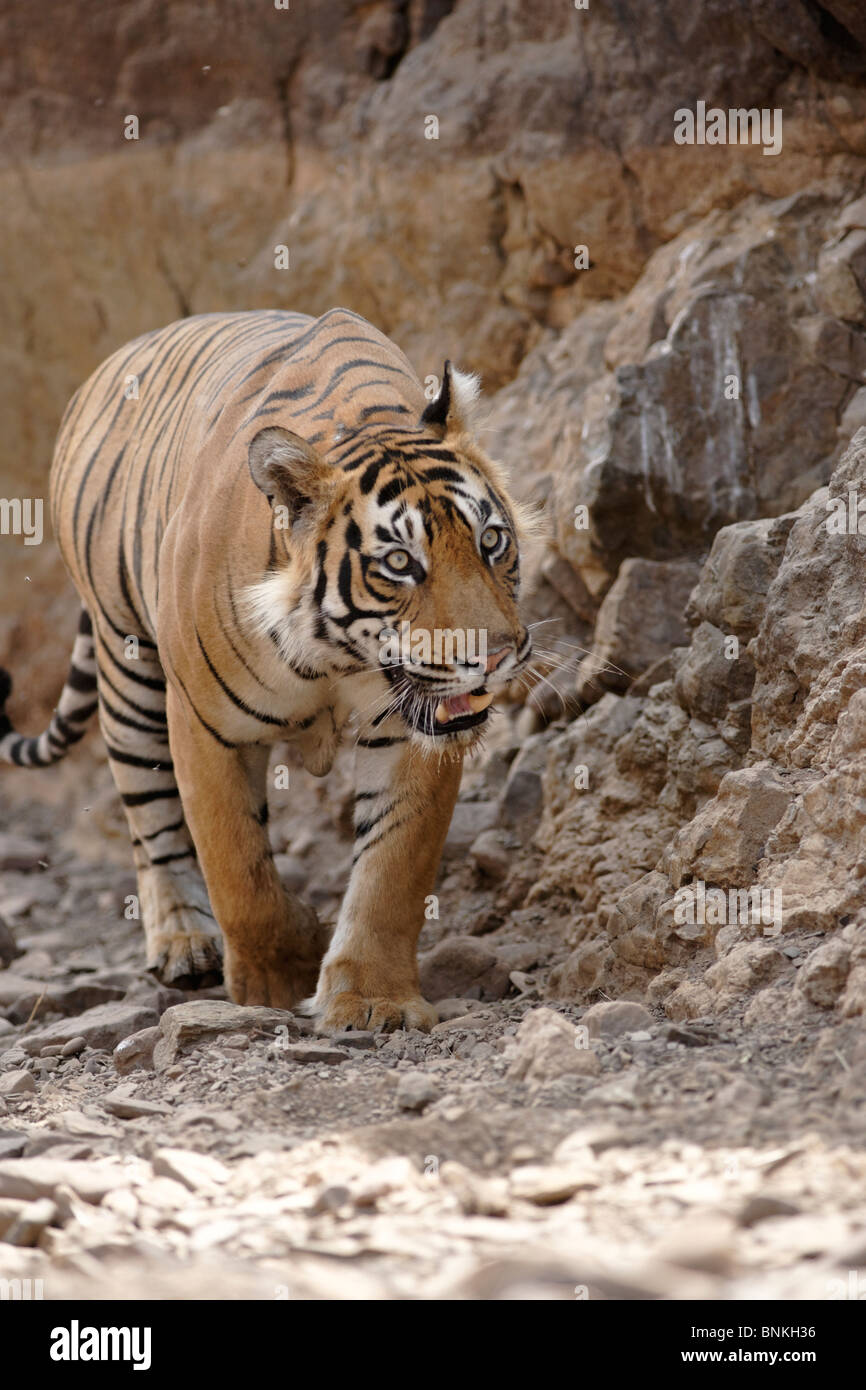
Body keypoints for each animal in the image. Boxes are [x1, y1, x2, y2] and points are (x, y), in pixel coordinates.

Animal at [0, 308, 533, 1032]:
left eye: (491, 541)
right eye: (399, 563)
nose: (498, 655)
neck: (339, 654)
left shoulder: (410, 734)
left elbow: (393, 869)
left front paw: (374, 1000)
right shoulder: (203, 723)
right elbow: (238, 870)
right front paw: (281, 973)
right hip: (127, 666)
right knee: (149, 817)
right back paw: (183, 941)